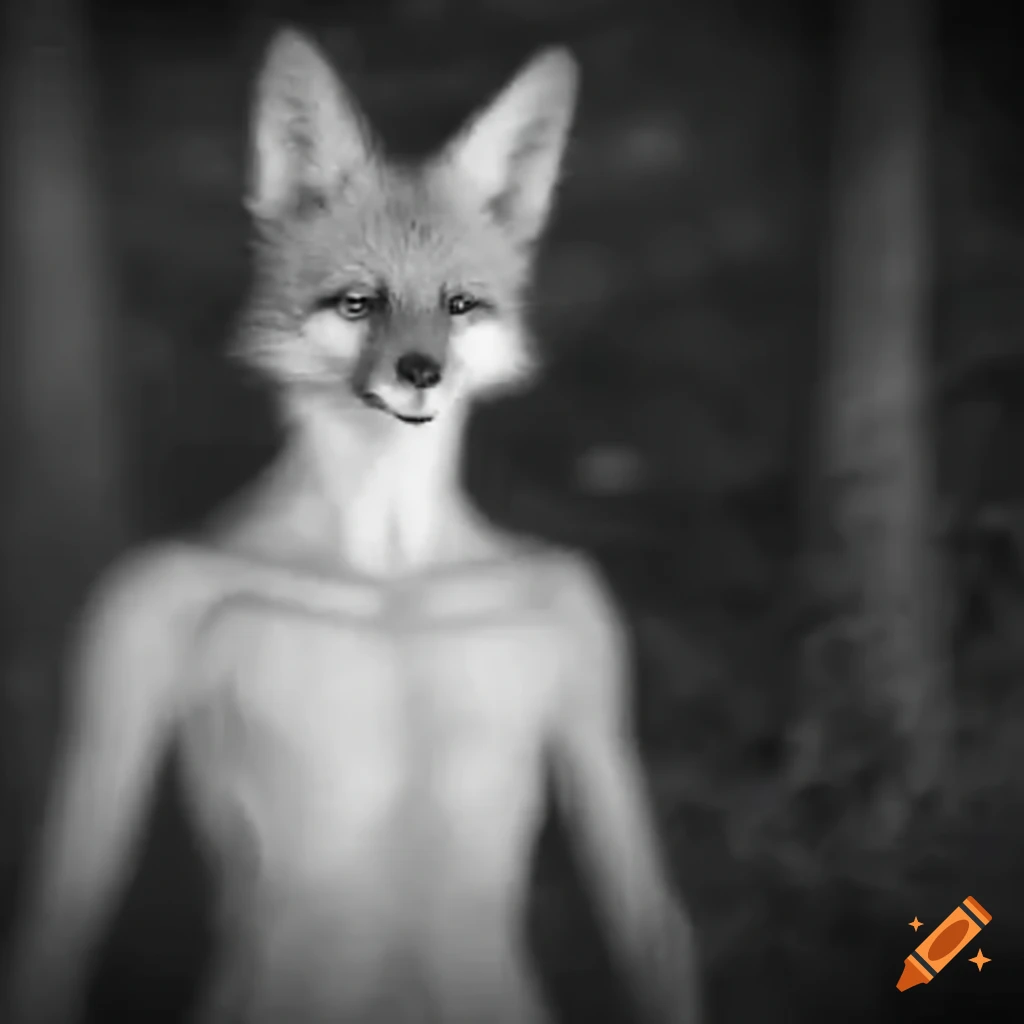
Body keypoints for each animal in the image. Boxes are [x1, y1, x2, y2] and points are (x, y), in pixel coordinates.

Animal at [0, 28, 702, 1024]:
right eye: (359, 302)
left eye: (458, 304)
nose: (421, 373)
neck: (386, 572)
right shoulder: (133, 615)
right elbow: (65, 920)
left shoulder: (588, 640)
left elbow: (648, 923)